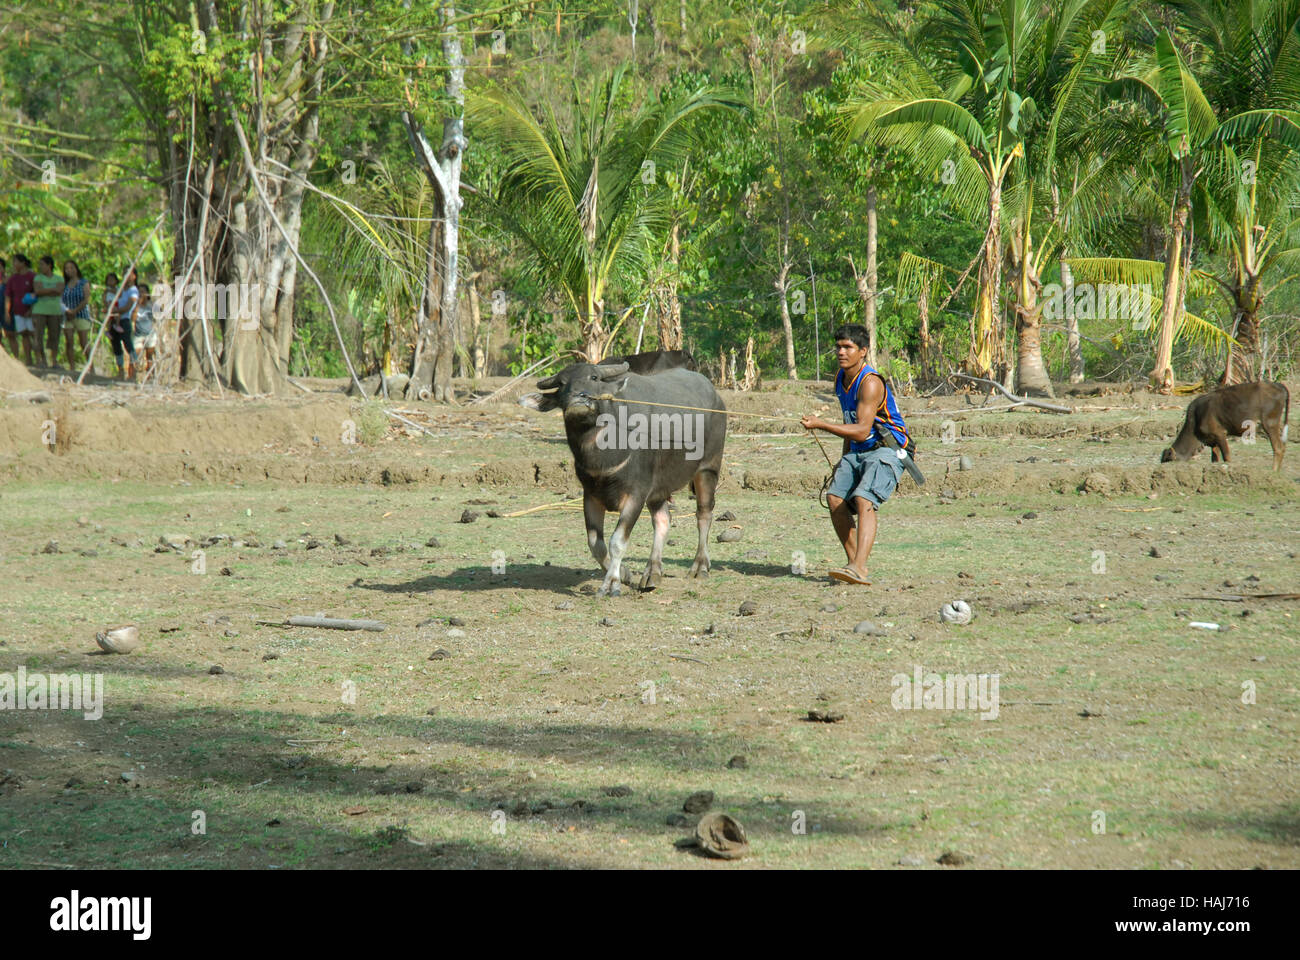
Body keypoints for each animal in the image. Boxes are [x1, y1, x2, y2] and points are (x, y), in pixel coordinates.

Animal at [521, 361, 726, 595]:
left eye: (594, 378)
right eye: (562, 383)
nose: (579, 397)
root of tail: (717, 398)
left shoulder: (636, 494)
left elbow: (617, 541)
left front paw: (611, 583)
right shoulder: (590, 496)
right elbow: (595, 543)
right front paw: (625, 573)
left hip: (708, 469)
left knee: (704, 514)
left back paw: (700, 566)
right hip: (658, 489)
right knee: (663, 519)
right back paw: (652, 572)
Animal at [1160, 381, 1290, 470]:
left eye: (1167, 460)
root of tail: (1278, 385)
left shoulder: (1220, 434)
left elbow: (1227, 457)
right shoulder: (1213, 441)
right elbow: (1215, 459)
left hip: (1269, 424)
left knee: (1278, 448)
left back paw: (1273, 471)